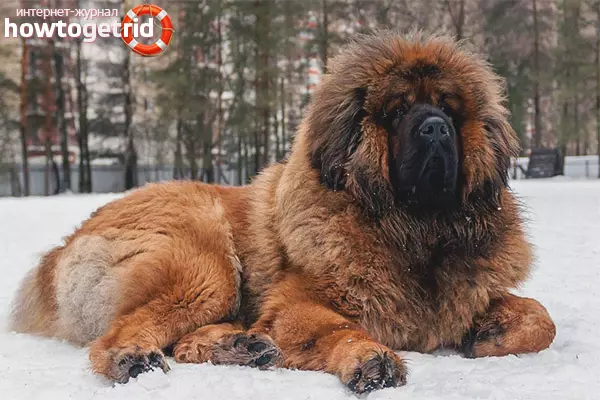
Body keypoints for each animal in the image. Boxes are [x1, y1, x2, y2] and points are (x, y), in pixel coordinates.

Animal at [10, 32, 552, 394]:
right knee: (120, 336)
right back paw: (134, 357)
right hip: (204, 266)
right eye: (398, 111)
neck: (412, 231)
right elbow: (341, 327)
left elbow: (541, 319)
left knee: (183, 343)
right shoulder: (297, 305)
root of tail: (58, 253)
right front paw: (370, 358)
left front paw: (488, 333)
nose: (436, 128)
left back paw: (241, 347)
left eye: (449, 110)